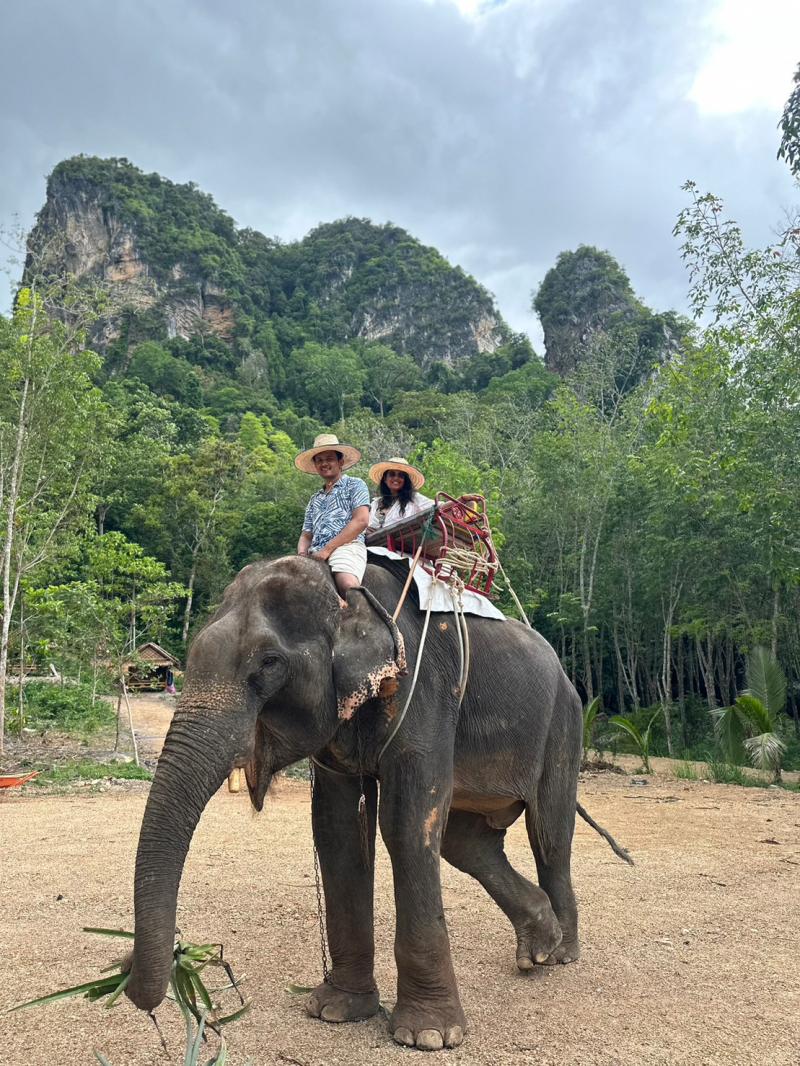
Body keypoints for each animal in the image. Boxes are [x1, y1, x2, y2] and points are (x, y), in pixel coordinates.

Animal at [126, 553, 624, 1051]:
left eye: (268, 663)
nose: (133, 977)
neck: (344, 592)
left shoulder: (420, 690)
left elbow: (406, 824)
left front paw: (428, 1036)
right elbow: (338, 831)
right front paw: (335, 1010)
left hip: (565, 723)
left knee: (549, 835)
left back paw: (561, 954)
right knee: (466, 844)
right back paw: (539, 945)